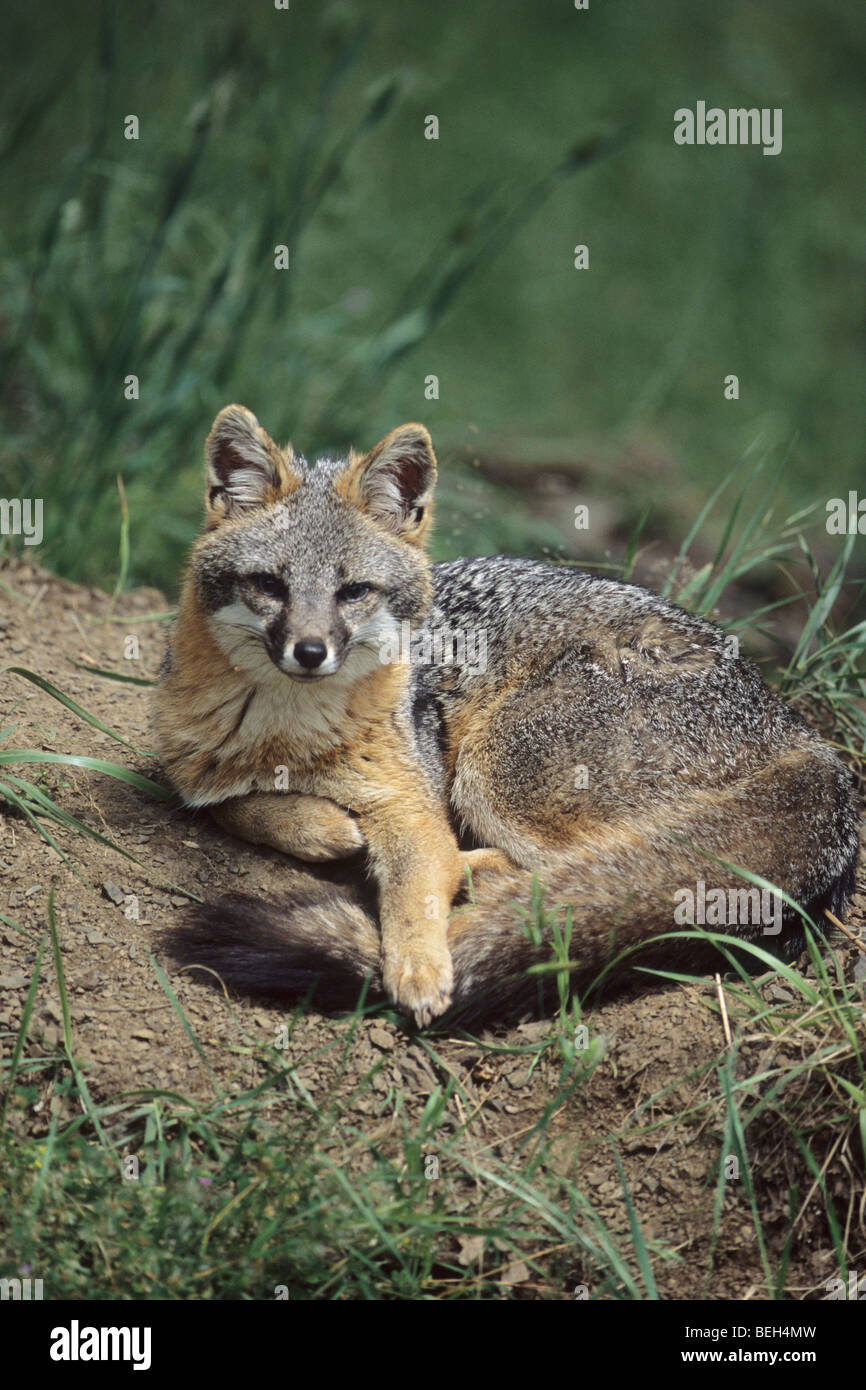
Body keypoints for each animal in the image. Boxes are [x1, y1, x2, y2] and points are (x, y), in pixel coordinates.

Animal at [154, 404, 859, 1027]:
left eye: (353, 592)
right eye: (270, 586)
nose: (309, 652)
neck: (291, 738)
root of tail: (809, 740)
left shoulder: (416, 802)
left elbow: (417, 882)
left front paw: (418, 966)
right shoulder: (189, 769)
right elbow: (223, 804)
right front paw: (319, 826)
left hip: (495, 773)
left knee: (570, 876)